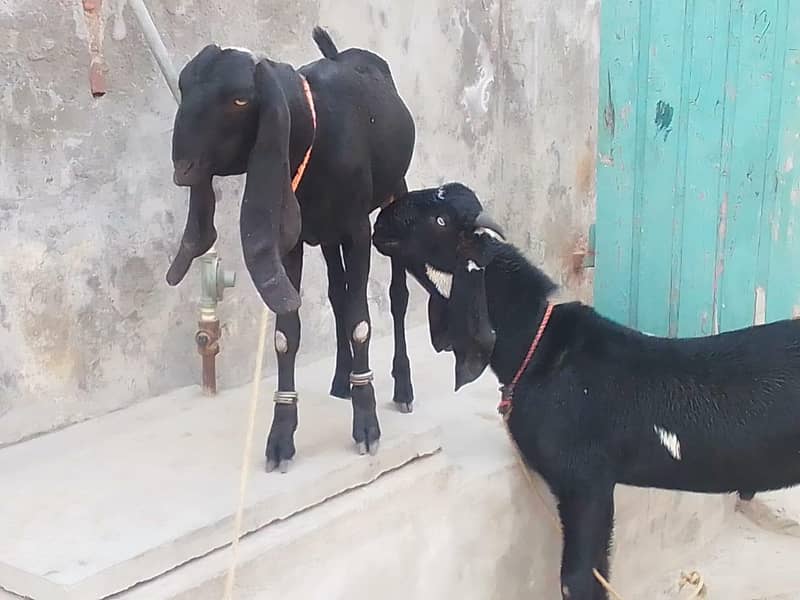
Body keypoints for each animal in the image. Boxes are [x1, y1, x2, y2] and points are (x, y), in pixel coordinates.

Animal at [167, 27, 416, 472]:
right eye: (184, 86)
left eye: (240, 99)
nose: (184, 168)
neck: (317, 132)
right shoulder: (293, 242)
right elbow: (288, 333)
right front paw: (281, 436)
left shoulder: (357, 230)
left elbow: (361, 323)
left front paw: (366, 425)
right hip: (328, 235)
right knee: (338, 294)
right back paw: (341, 379)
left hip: (393, 197)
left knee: (397, 296)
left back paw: (402, 386)